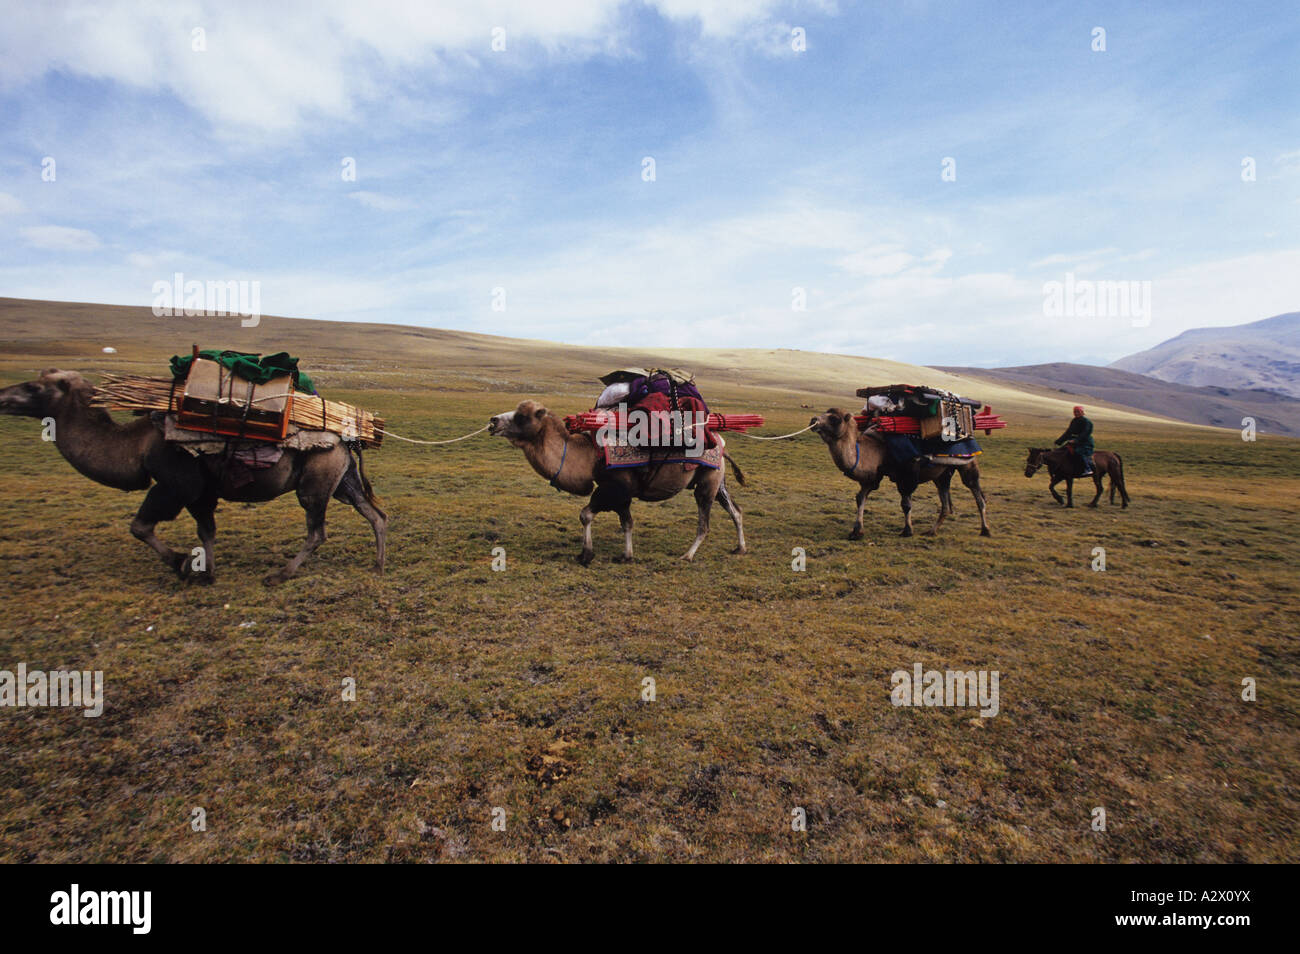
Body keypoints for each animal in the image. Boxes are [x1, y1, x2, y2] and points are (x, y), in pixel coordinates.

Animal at [0, 369, 386, 585]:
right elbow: (206, 530)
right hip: (342, 480)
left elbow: (140, 526)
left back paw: (280, 575)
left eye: (35, 388)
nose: (3, 396)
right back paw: (378, 565)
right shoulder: (202, 493)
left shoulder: (177, 483)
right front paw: (206, 572)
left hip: (315, 482)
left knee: (318, 530)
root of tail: (346, 437)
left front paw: (182, 563)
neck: (135, 445)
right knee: (374, 515)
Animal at [488, 400, 746, 564]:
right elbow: (627, 523)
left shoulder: (614, 488)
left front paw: (586, 555)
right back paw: (740, 548)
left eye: (522, 416)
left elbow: (586, 514)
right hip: (717, 481)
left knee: (705, 523)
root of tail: (721, 444)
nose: (493, 421)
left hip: (706, 484)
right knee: (735, 510)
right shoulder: (622, 493)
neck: (589, 455)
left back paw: (687, 555)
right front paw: (626, 555)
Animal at [809, 409, 990, 538]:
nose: (813, 420)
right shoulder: (872, 477)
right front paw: (856, 531)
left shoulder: (907, 473)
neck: (876, 448)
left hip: (968, 464)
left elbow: (906, 504)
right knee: (946, 503)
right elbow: (860, 498)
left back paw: (985, 530)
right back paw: (931, 531)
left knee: (977, 495)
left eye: (834, 418)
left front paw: (907, 531)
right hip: (942, 474)